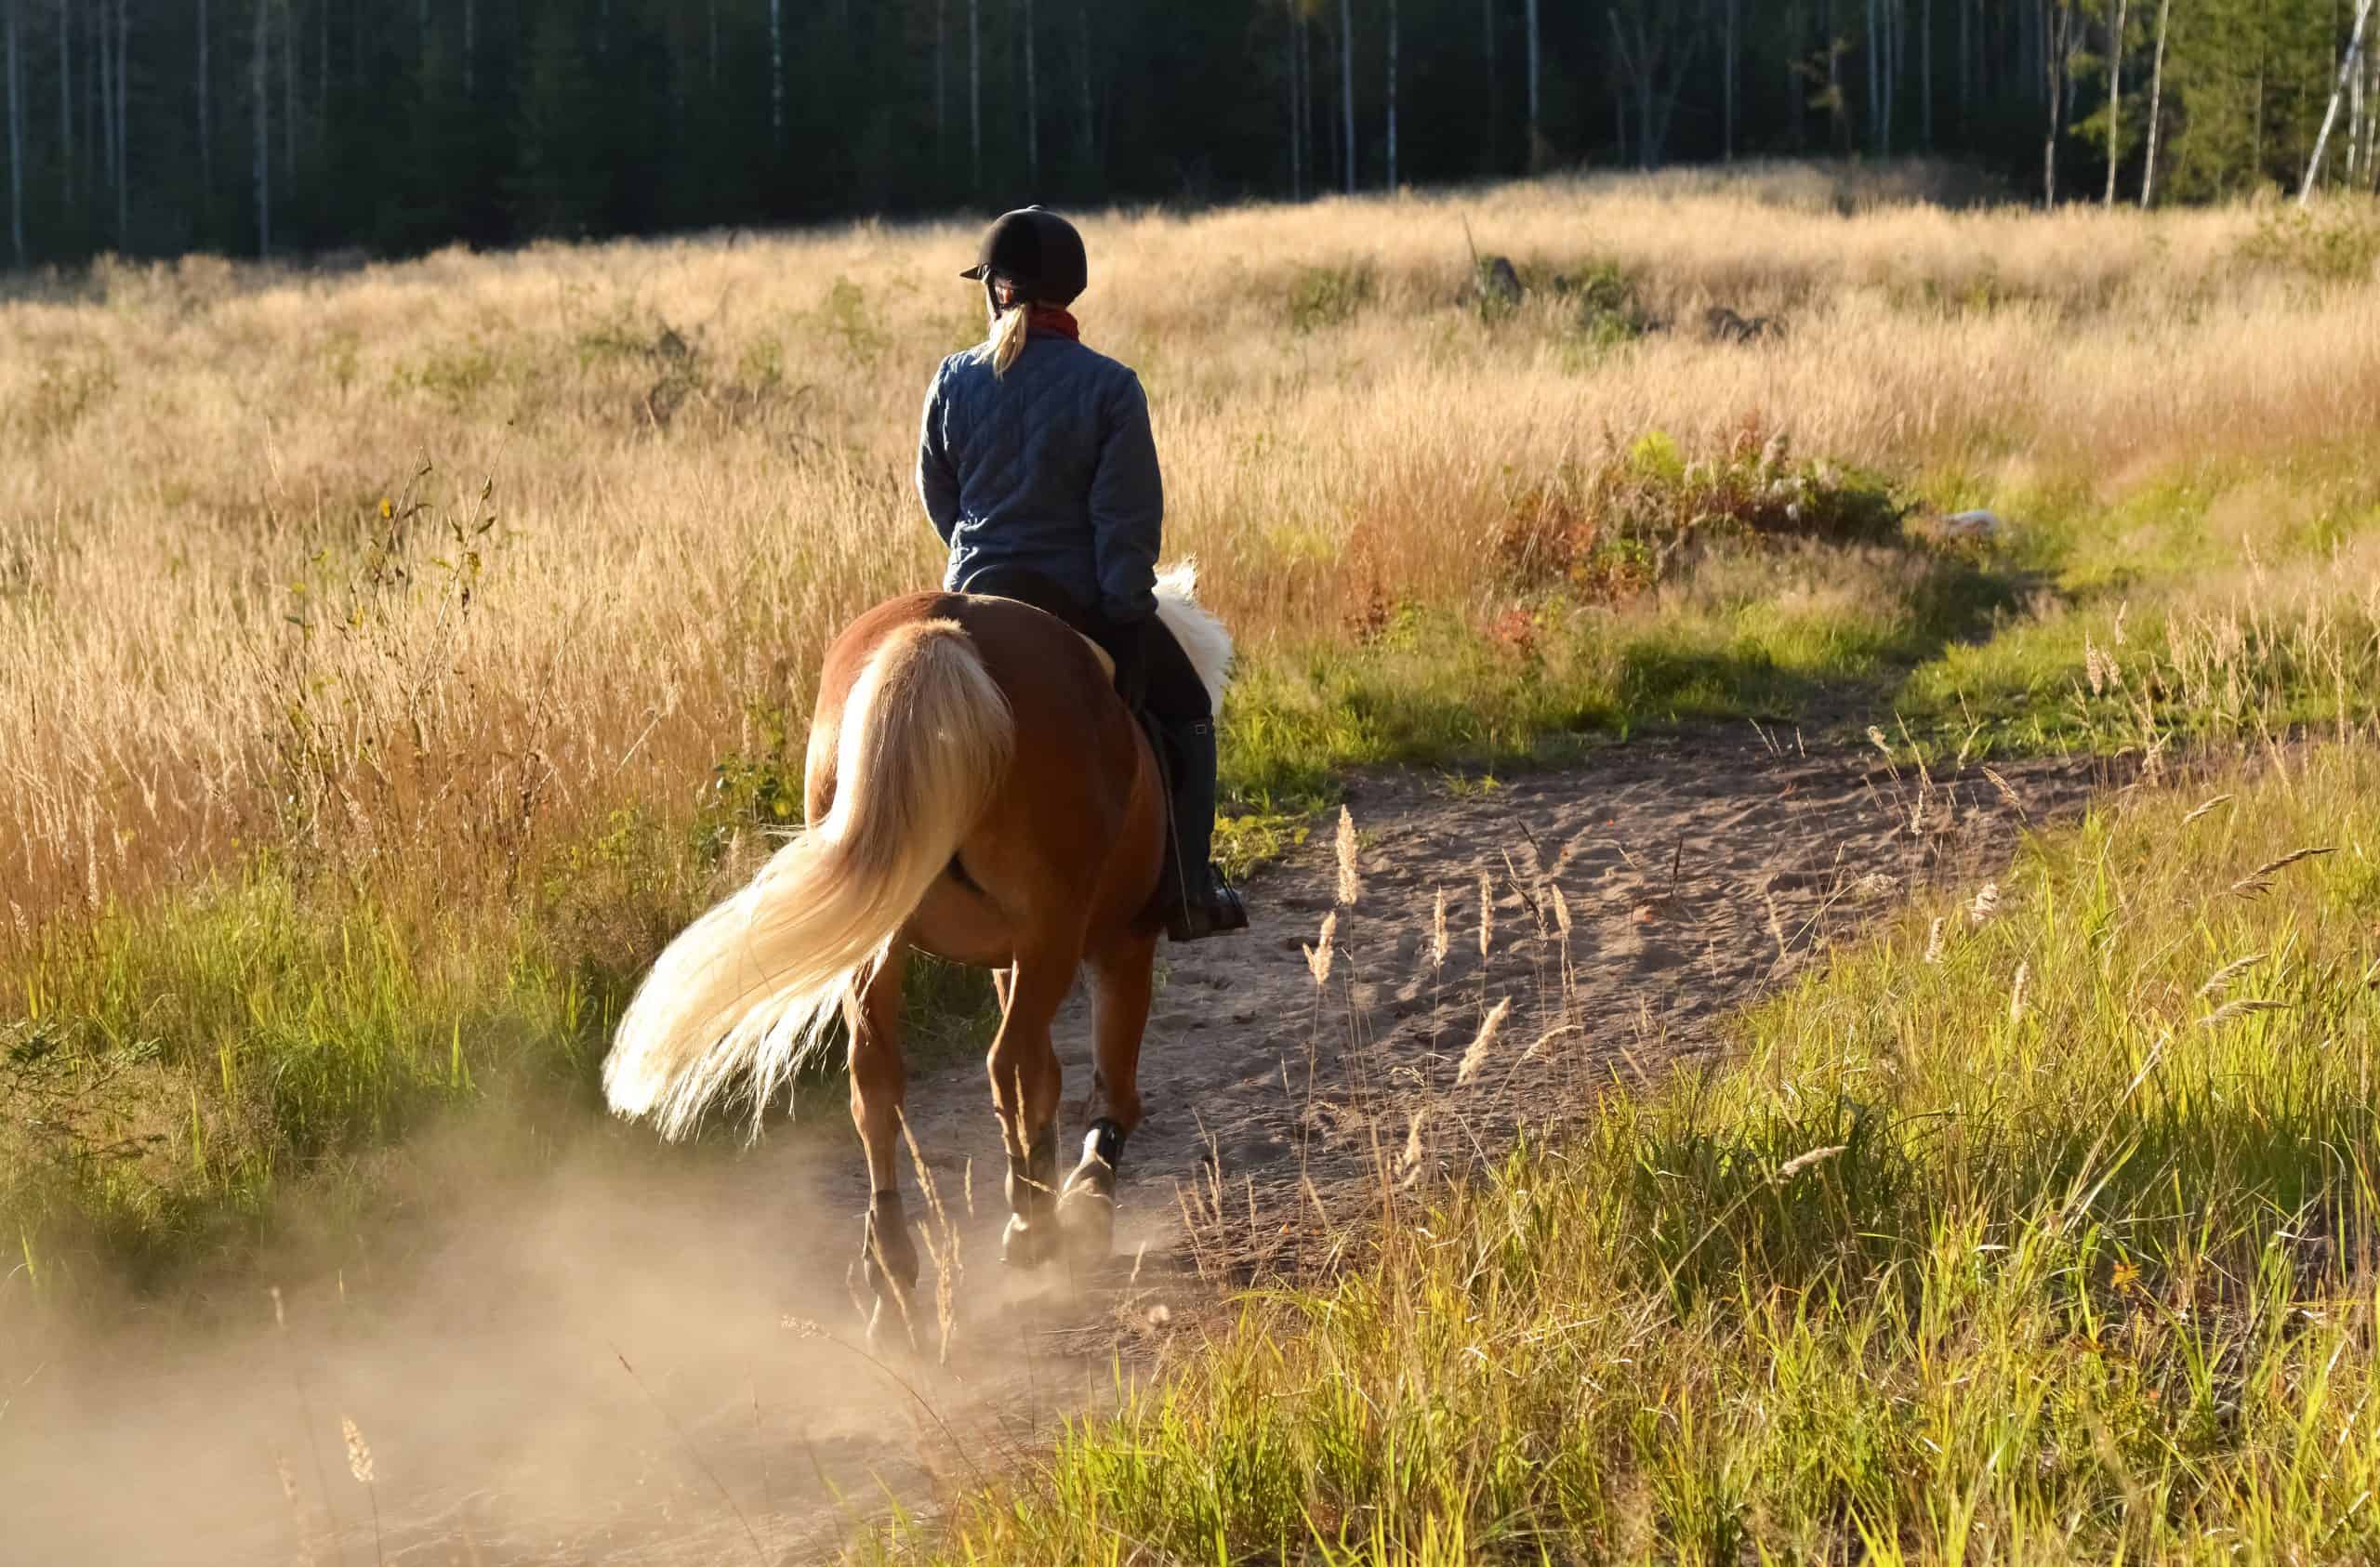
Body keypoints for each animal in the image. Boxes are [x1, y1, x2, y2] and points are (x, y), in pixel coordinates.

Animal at [600, 565, 1233, 1332]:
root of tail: (941, 635)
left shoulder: (1013, 957)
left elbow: (1050, 1076)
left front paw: (1049, 1184)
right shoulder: (1121, 943)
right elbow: (1108, 1077)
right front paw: (1083, 1197)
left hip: (883, 946)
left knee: (877, 1085)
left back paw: (897, 1275)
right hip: (1051, 932)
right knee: (1006, 1063)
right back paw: (1030, 1231)